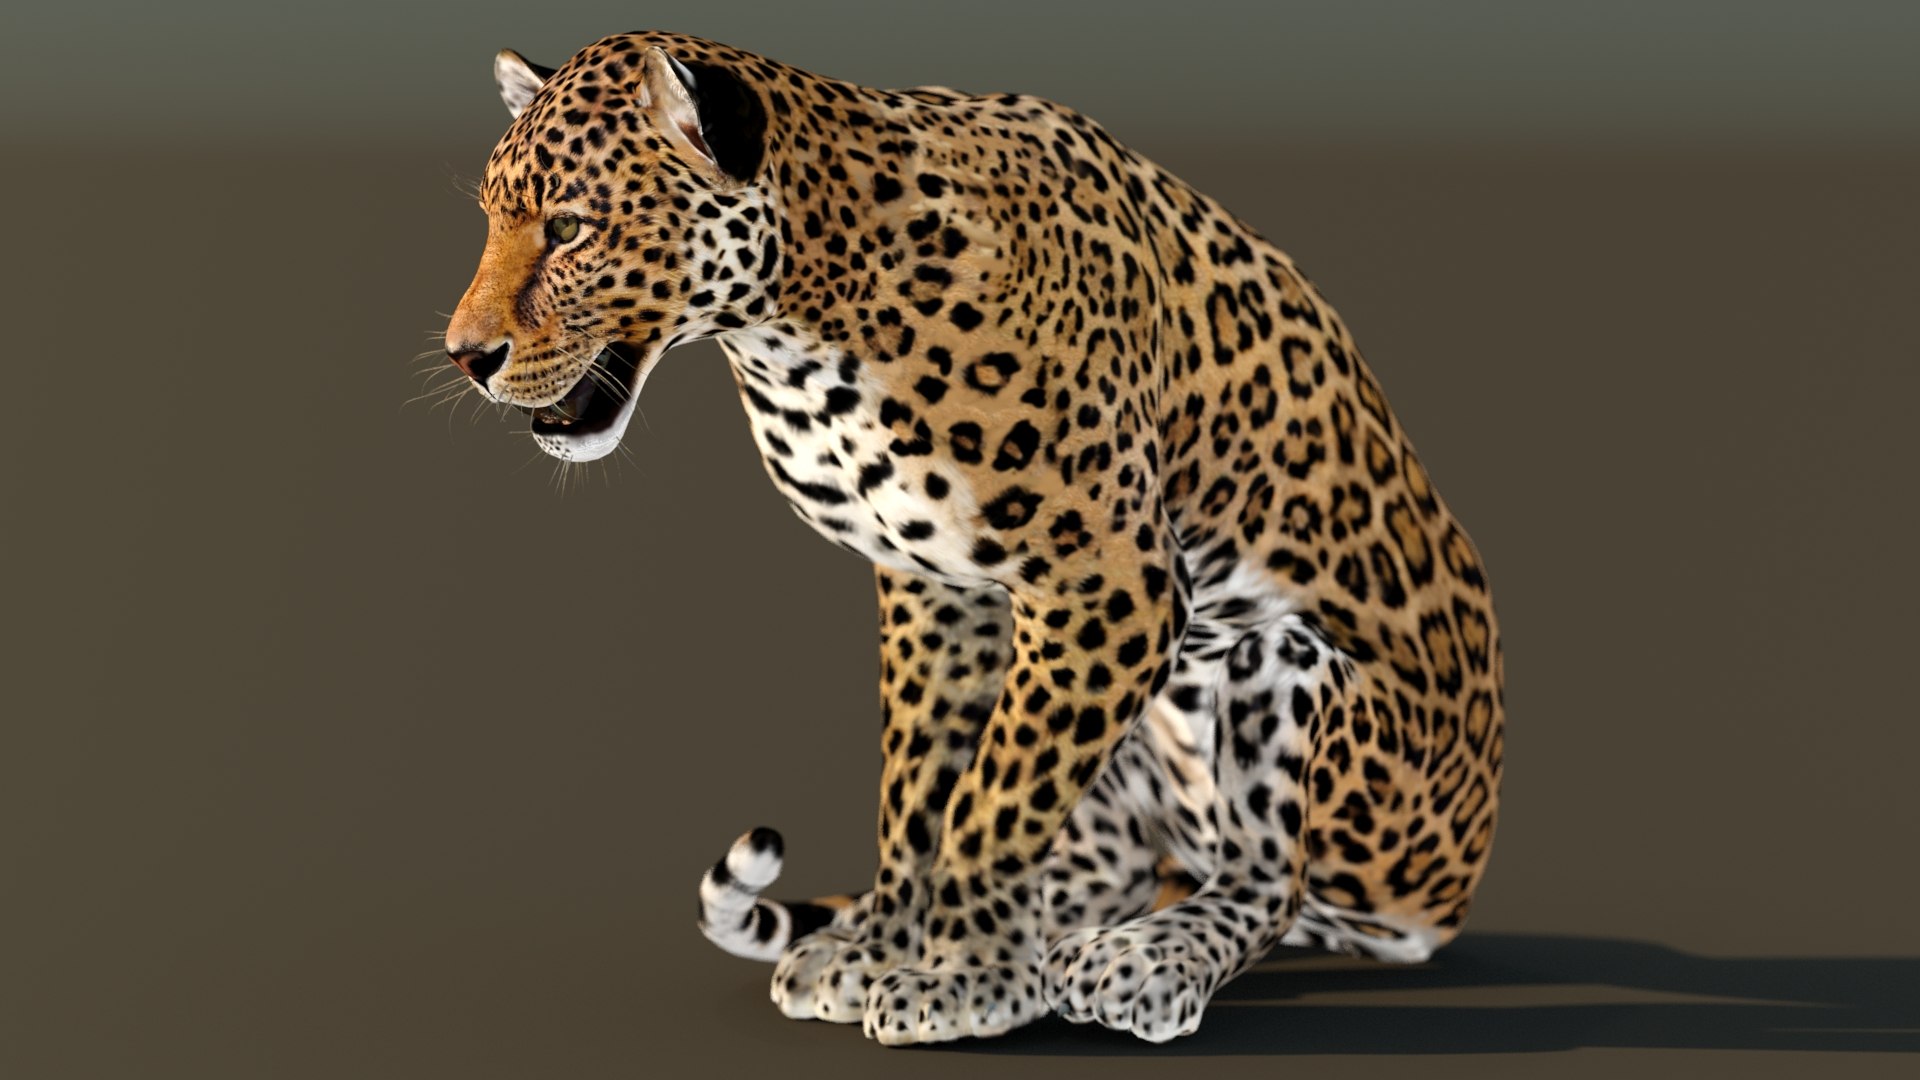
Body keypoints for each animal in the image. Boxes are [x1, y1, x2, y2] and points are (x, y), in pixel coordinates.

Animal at [441, 30, 1504, 1046]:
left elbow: (995, 801)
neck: (801, 331)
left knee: (1268, 880)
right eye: (491, 220)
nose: (465, 356)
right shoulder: (936, 588)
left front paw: (963, 980)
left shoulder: (1108, 584)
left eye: (570, 227)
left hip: (1287, 673)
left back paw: (1142, 960)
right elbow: (920, 788)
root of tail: (1449, 895)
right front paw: (880, 951)